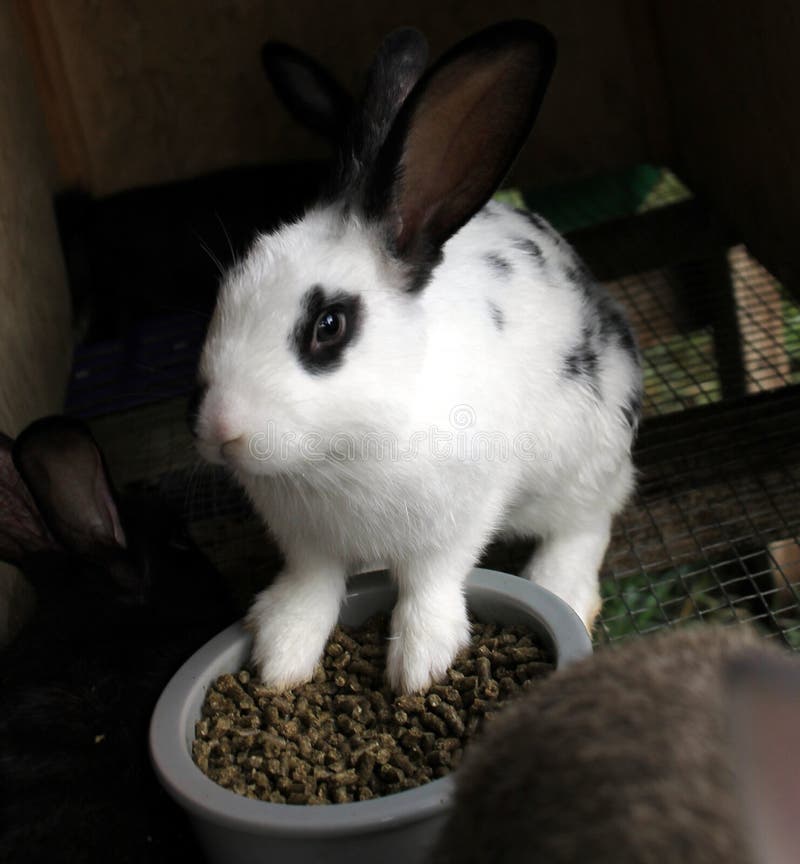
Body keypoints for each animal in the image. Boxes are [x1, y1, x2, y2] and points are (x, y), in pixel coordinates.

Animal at [191, 20, 643, 694]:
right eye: (224, 297)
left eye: (329, 325)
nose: (221, 430)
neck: (337, 457)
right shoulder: (305, 541)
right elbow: (310, 586)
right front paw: (280, 659)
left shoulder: (460, 515)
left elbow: (432, 583)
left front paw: (421, 666)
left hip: (588, 463)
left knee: (590, 523)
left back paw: (560, 587)